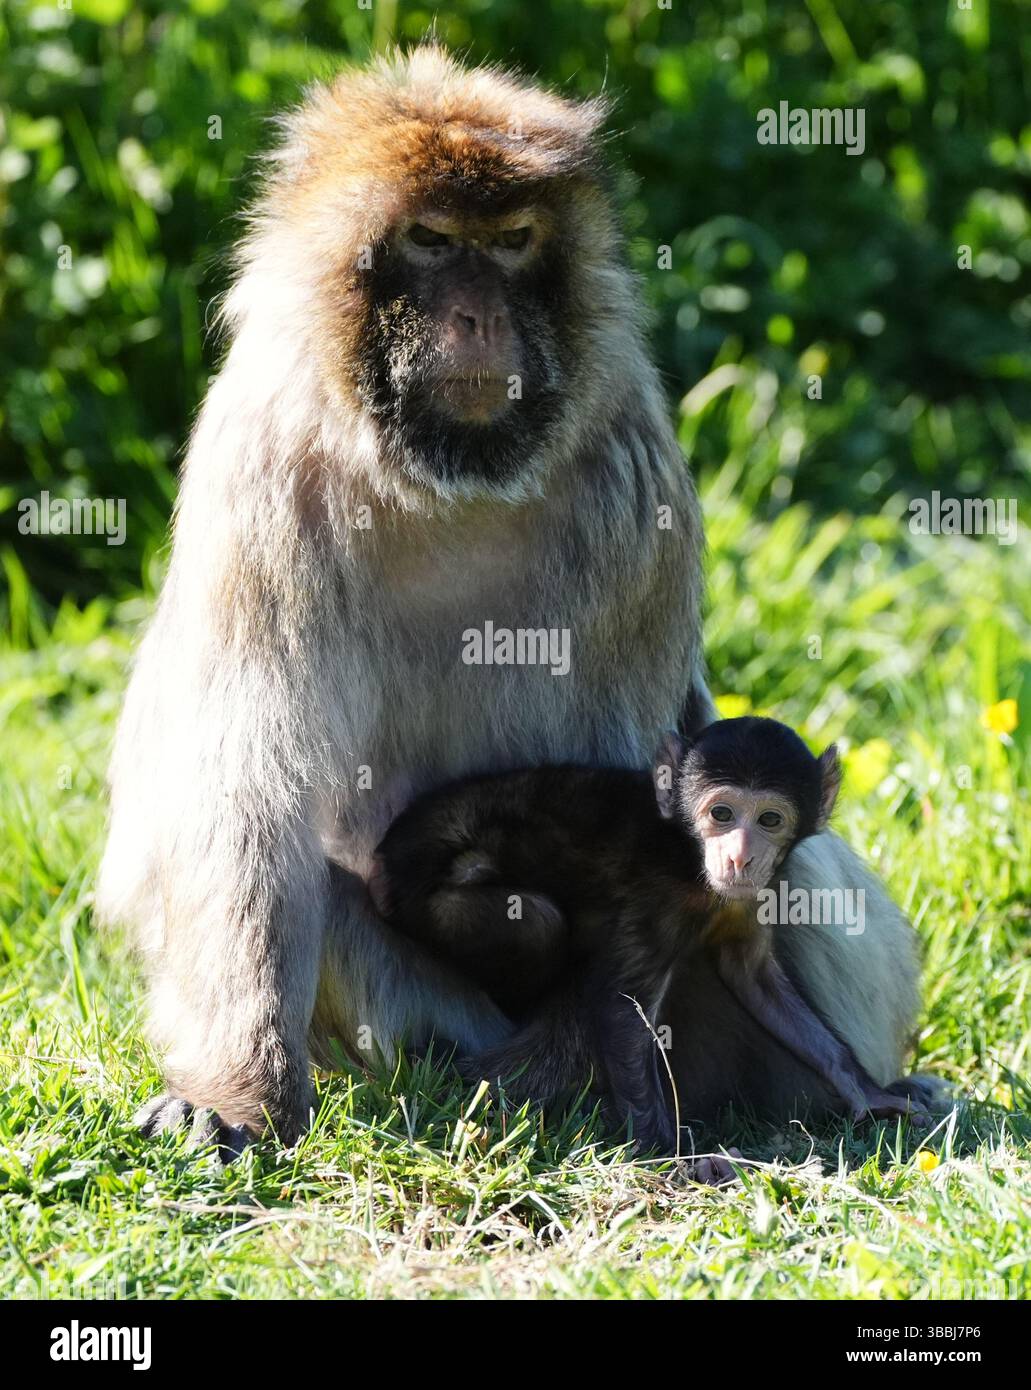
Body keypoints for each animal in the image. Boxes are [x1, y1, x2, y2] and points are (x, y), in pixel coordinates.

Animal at [369, 717, 928, 1152]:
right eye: (721, 814)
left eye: (770, 819)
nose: (740, 857)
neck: (690, 855)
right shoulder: (658, 899)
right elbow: (621, 1010)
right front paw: (670, 1155)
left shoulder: (747, 899)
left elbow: (754, 979)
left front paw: (867, 1091)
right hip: (424, 900)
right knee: (536, 921)